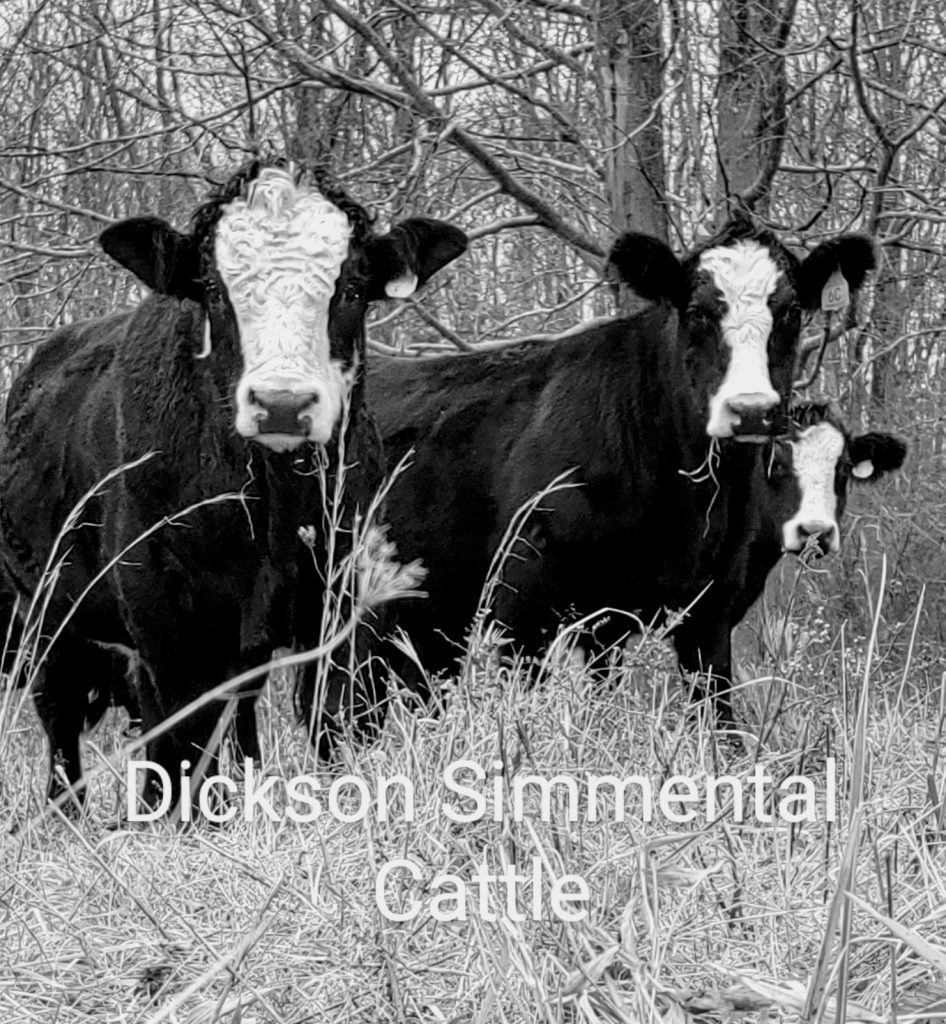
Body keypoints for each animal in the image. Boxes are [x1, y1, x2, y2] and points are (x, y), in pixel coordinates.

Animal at [0, 160, 467, 816]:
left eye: (350, 289)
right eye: (216, 292)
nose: (282, 403)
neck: (275, 504)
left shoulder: (343, 590)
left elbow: (336, 718)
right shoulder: (160, 603)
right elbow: (187, 733)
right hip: (47, 616)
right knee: (64, 721)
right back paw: (71, 814)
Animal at [315, 219, 879, 730]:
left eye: (790, 312)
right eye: (697, 311)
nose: (752, 410)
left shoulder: (698, 615)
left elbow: (714, 720)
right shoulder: (525, 605)